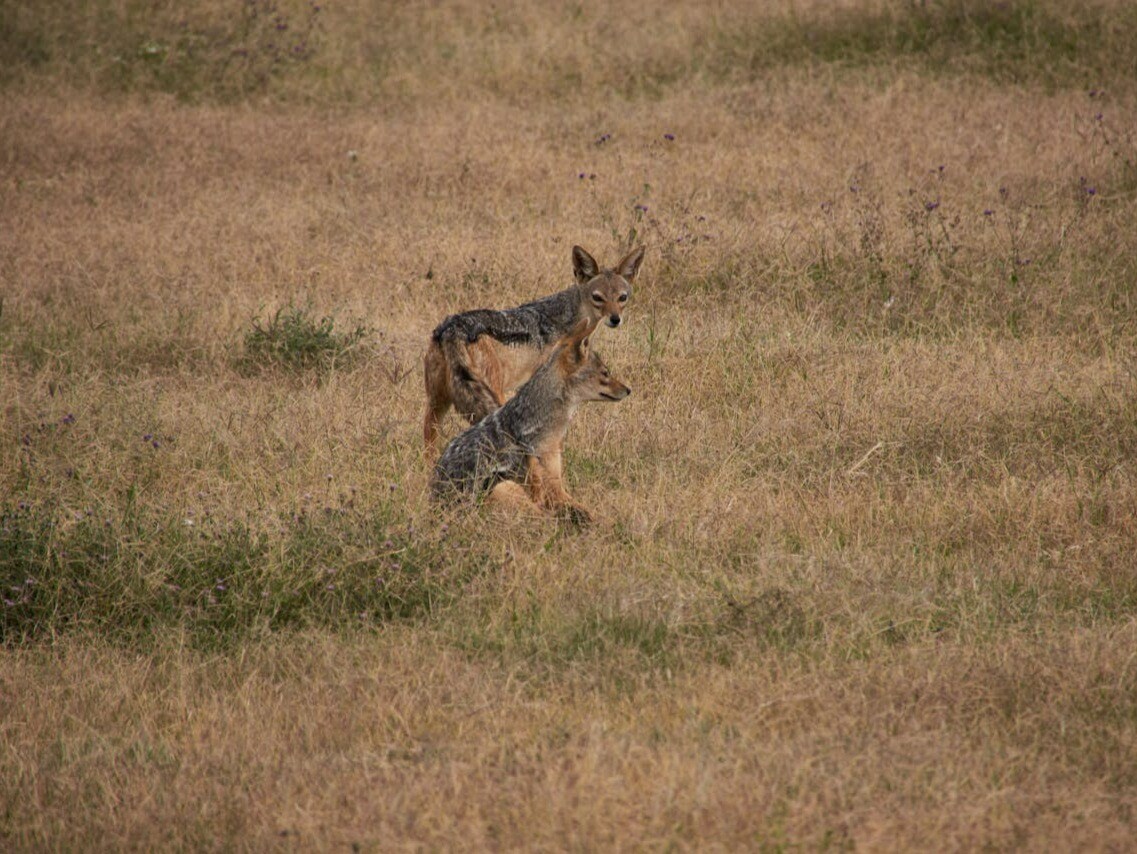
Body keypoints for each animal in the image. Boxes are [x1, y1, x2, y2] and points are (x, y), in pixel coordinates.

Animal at [422, 244, 645, 459]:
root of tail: (452, 328)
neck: (566, 320)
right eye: (597, 298)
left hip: (436, 404)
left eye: (622, 298)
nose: (615, 319)